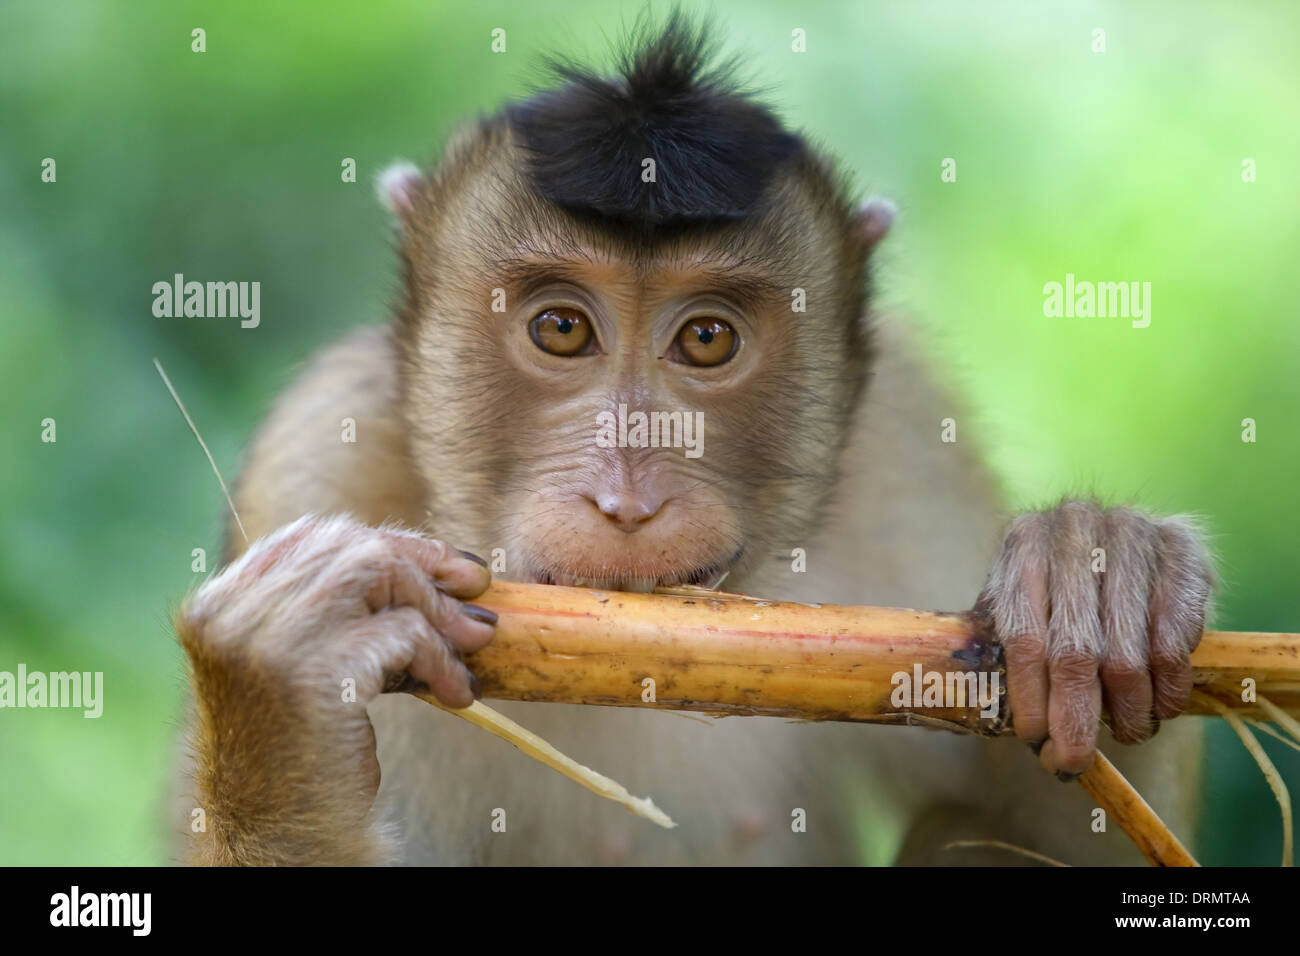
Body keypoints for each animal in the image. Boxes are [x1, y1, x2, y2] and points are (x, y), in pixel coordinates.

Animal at [171, 16, 1213, 866]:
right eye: (561, 329)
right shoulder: (318, 457)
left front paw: (1096, 580)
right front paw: (282, 687)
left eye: (707, 338)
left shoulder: (910, 450)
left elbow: (1039, 827)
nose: (628, 501)